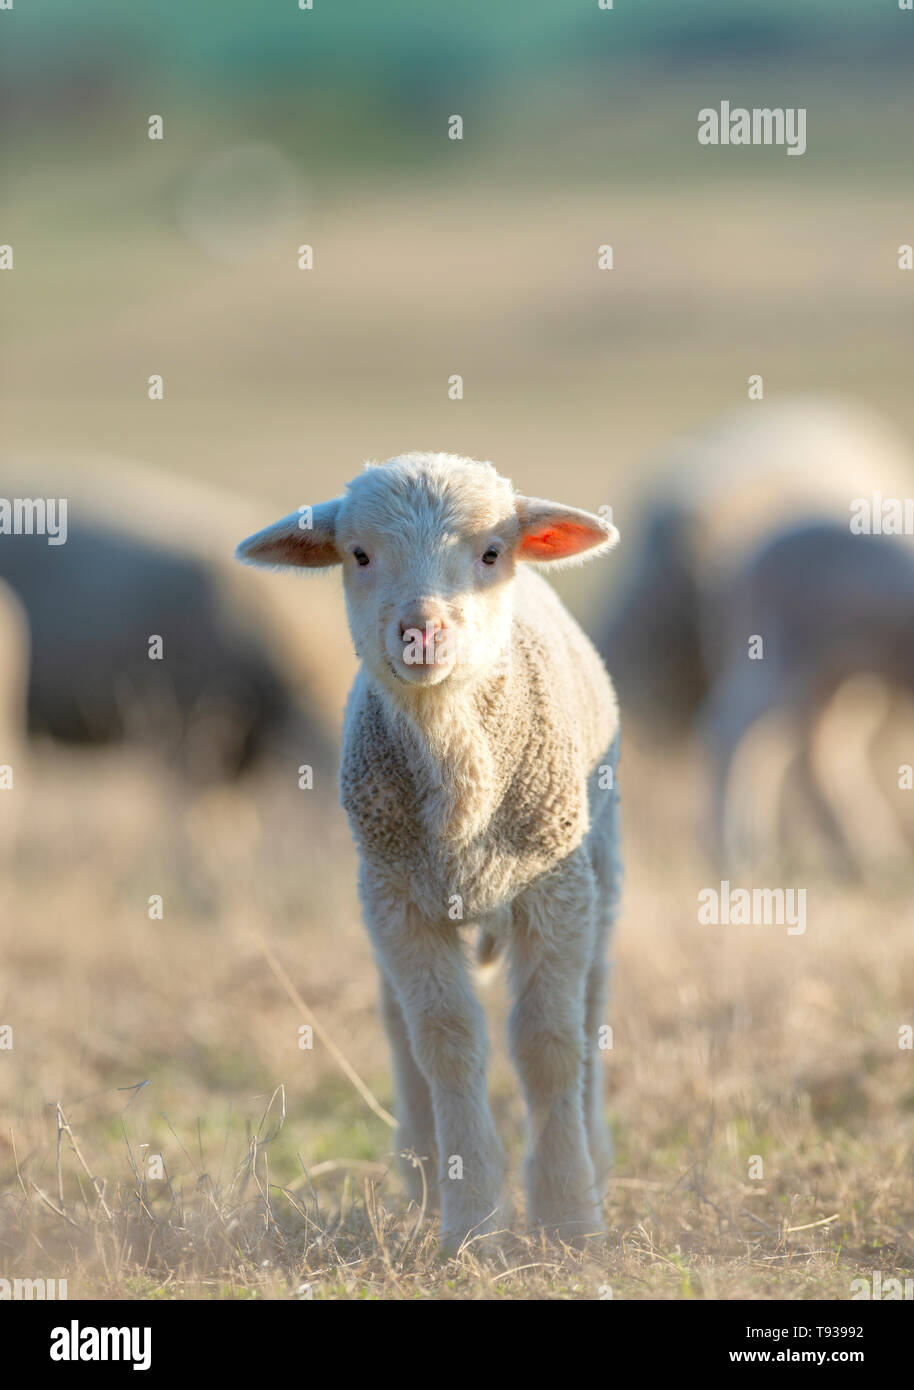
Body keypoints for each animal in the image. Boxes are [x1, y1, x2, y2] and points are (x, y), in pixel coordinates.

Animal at [237, 451, 621, 1251]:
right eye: (357, 555)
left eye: (491, 552)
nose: (422, 631)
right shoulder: (399, 899)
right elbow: (445, 1043)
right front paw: (472, 1216)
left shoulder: (555, 885)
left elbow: (548, 1044)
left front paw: (569, 1216)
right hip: (380, 892)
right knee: (397, 1021)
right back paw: (420, 1176)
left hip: (602, 860)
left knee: (594, 998)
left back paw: (595, 1154)